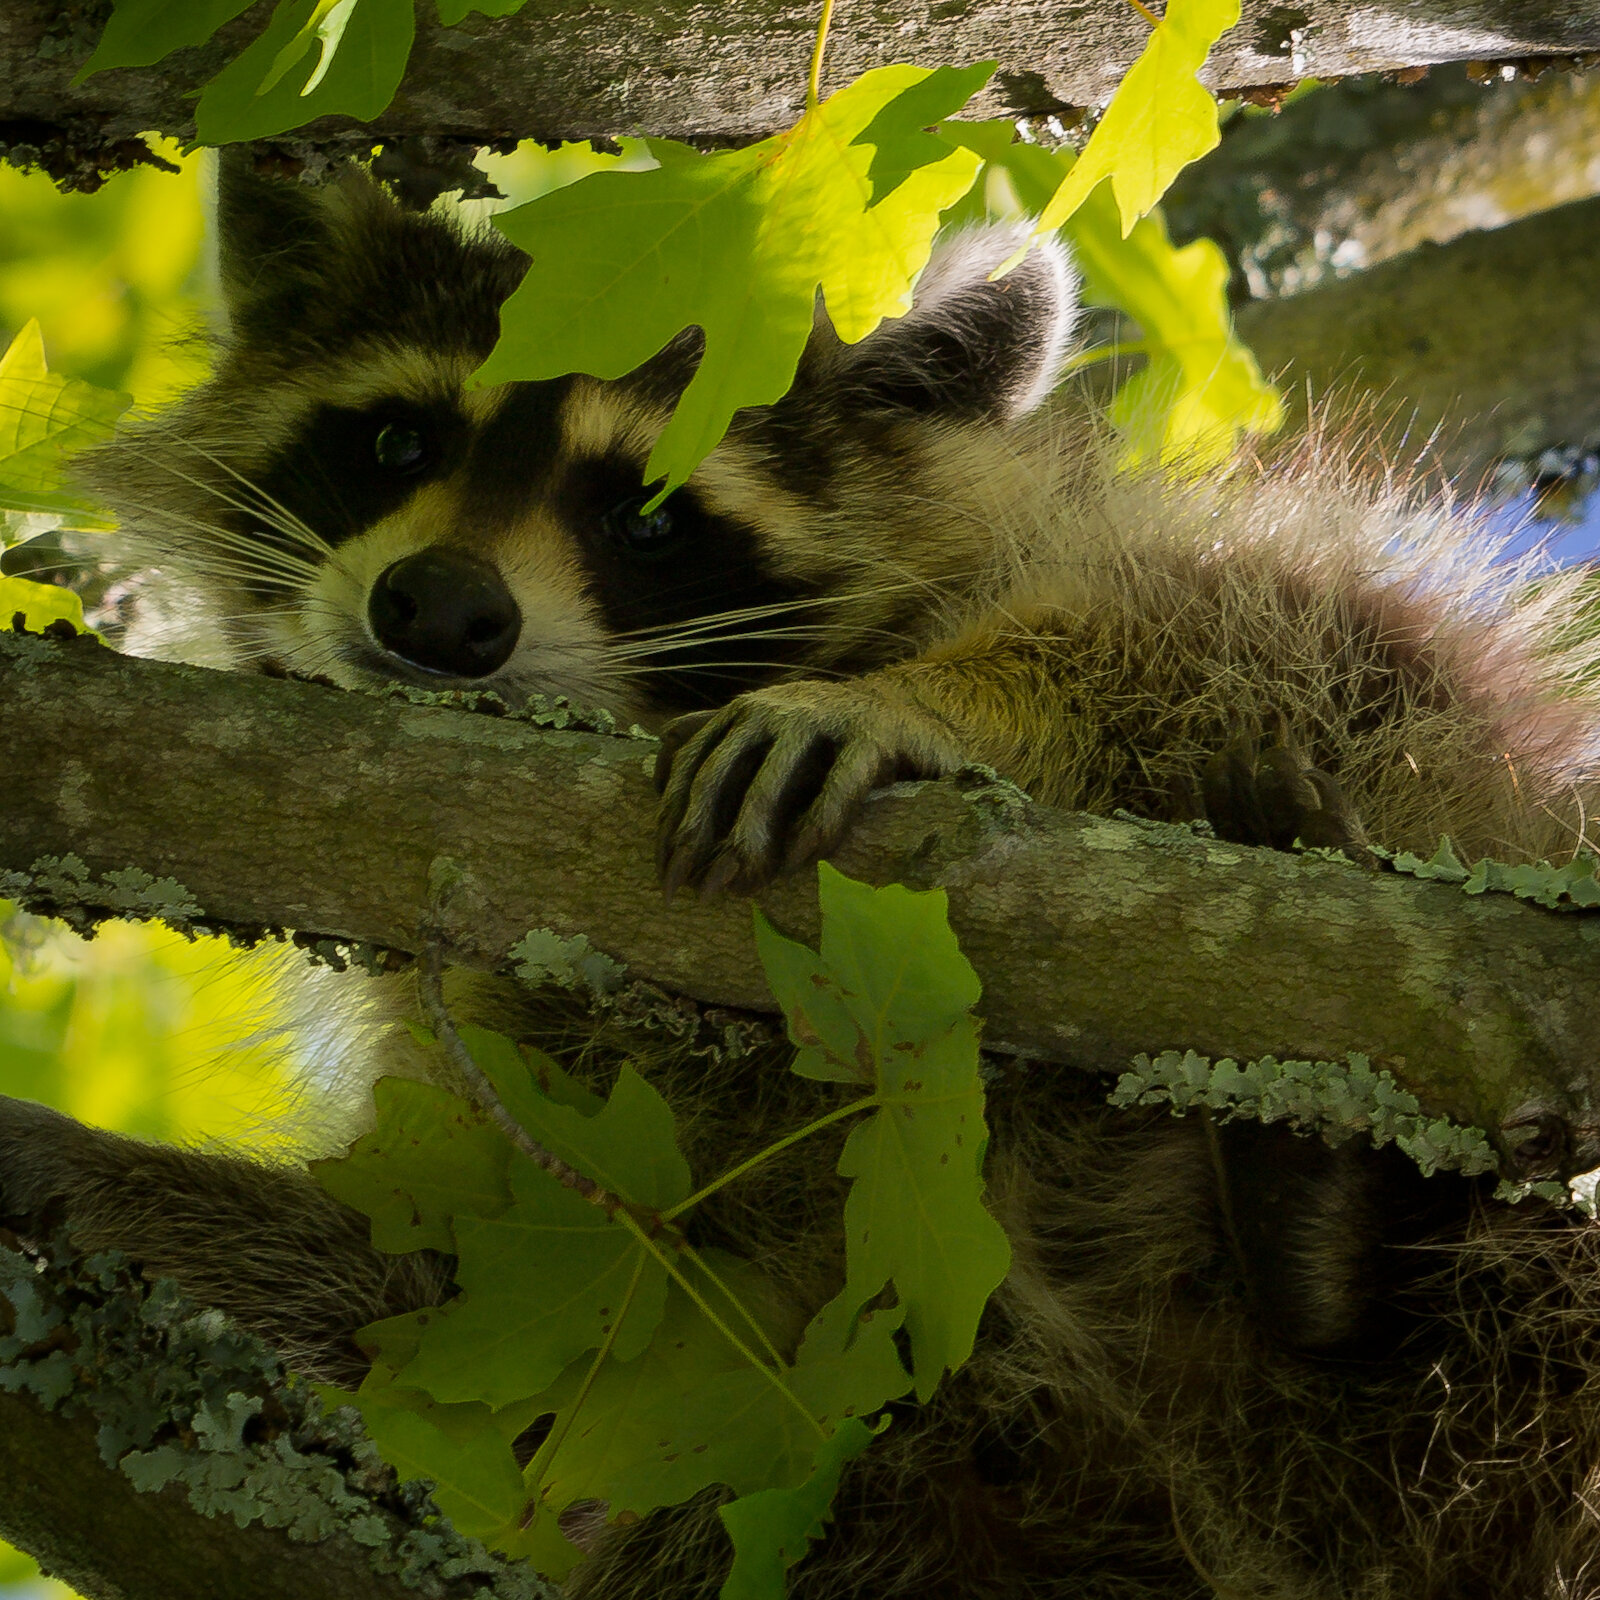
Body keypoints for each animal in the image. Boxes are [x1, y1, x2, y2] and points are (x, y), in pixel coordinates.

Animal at [5, 152, 1600, 1599]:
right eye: (395, 441)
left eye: (649, 514)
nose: (442, 608)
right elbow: (458, 1308)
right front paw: (94, 1178)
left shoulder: (1163, 564)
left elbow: (1217, 617)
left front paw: (924, 703)